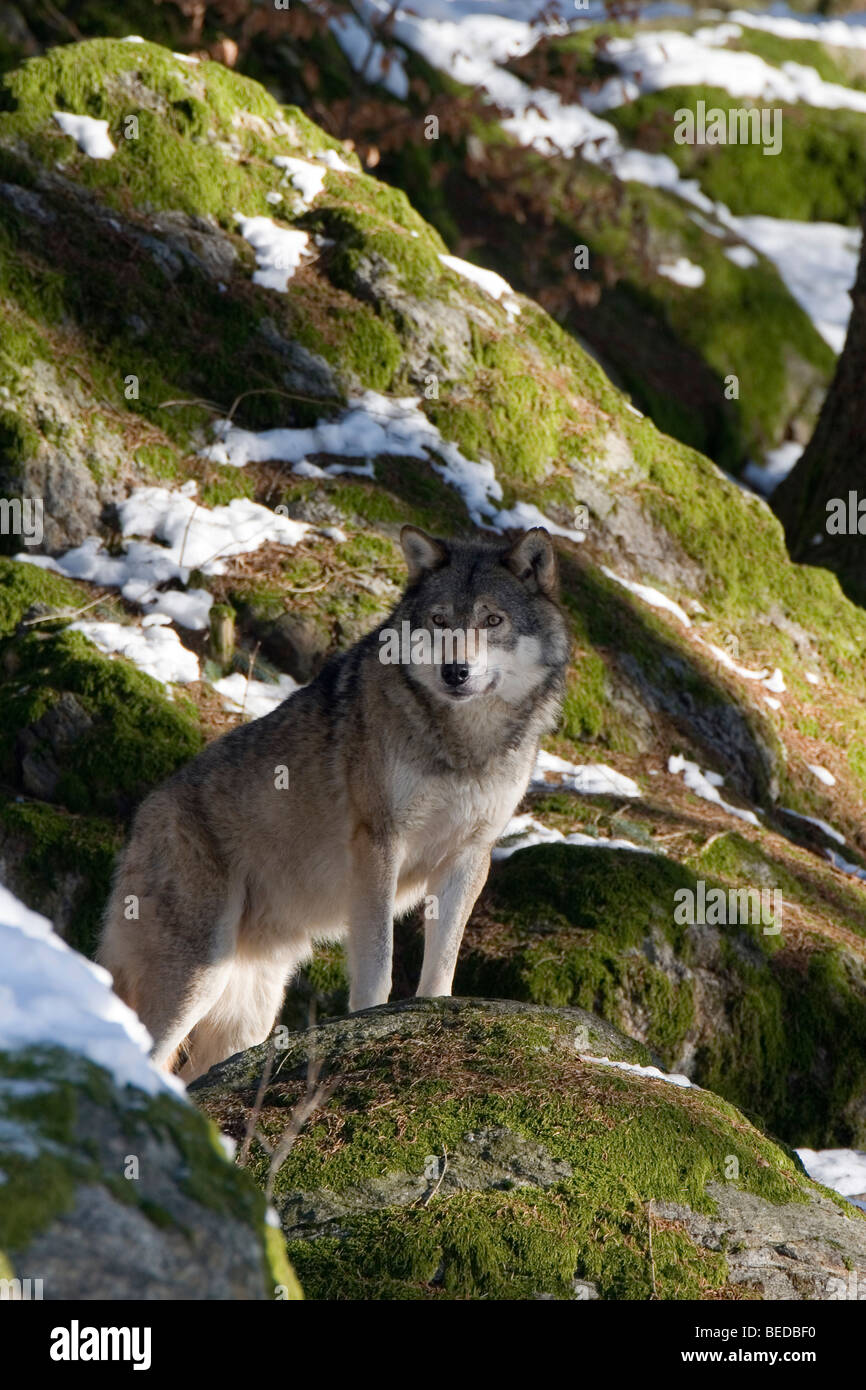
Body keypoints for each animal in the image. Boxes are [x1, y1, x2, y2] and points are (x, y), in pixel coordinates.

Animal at [97, 525, 570, 1080]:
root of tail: (143, 816)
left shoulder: (469, 855)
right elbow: (378, 960)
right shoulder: (379, 843)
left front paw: (434, 1010)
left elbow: (441, 963)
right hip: (197, 977)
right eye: (440, 620)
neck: (463, 743)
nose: (455, 672)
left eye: (493, 620)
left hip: (246, 1018)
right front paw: (370, 1021)